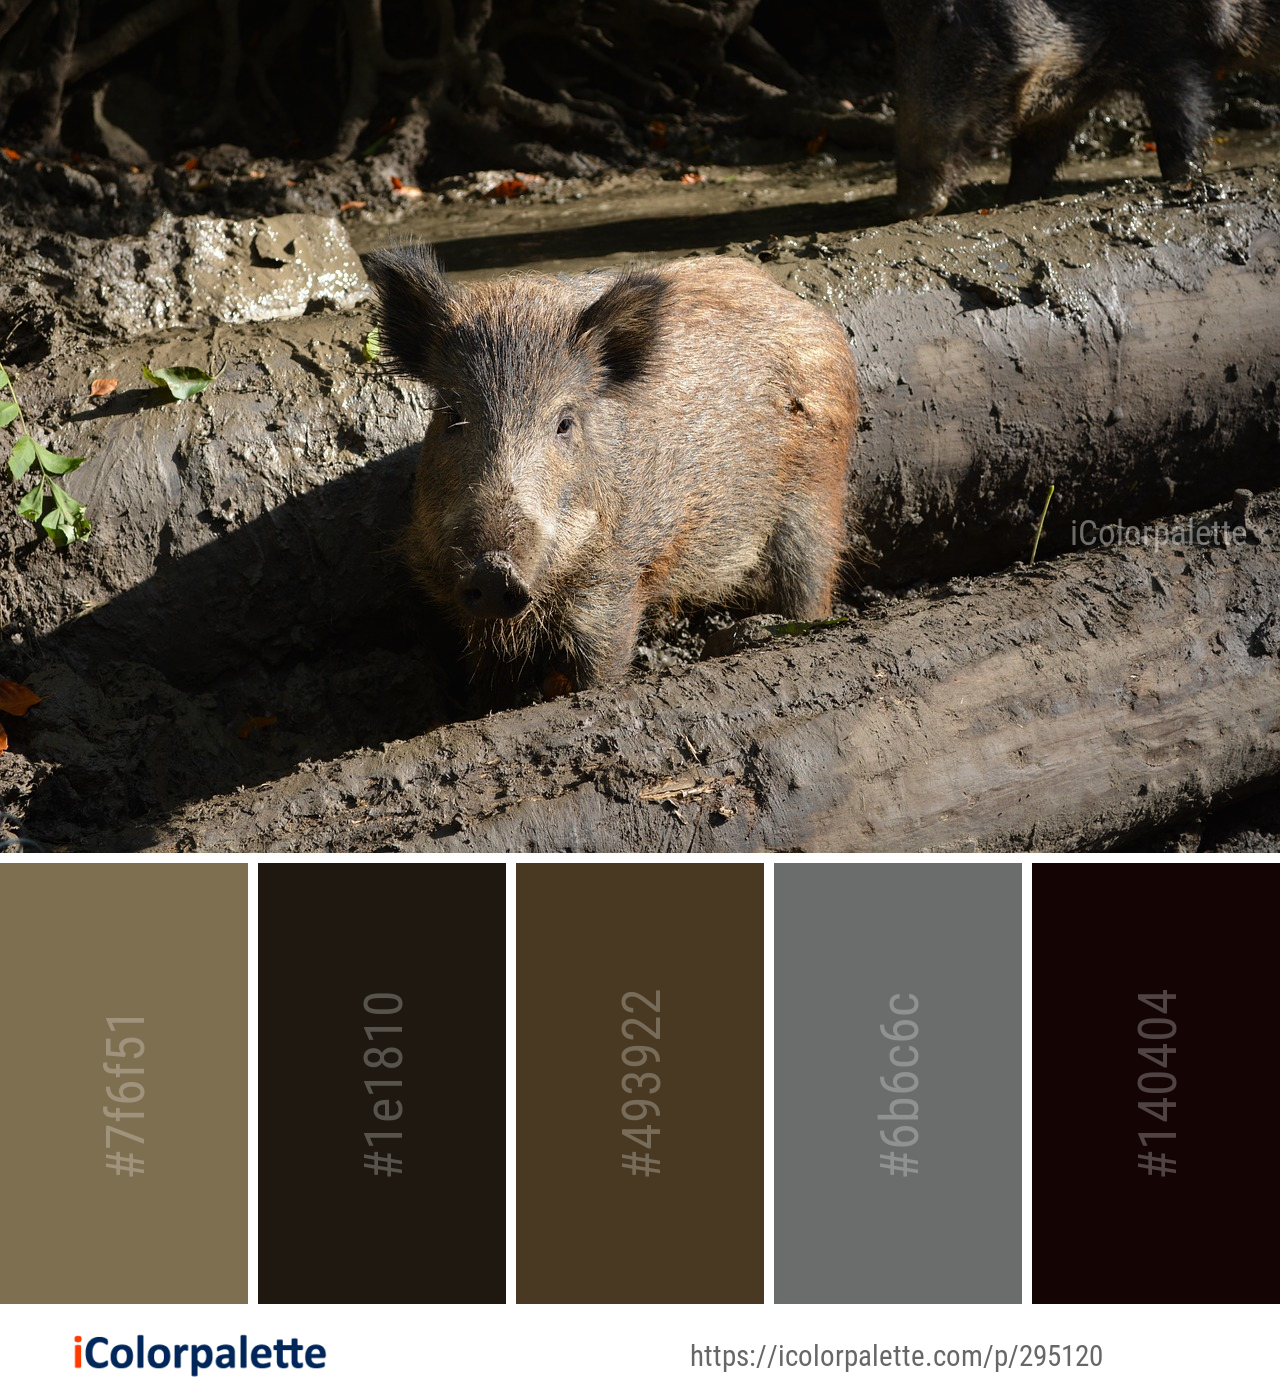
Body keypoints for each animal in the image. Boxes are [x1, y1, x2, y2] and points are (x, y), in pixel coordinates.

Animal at [363, 246, 858, 701]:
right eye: (452, 413)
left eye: (564, 422)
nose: (493, 569)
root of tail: (807, 309)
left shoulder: (616, 575)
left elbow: (602, 662)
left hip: (815, 495)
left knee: (810, 578)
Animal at [880, 0, 1280, 217]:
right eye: (894, 32)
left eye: (947, 21)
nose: (911, 207)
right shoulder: (1062, 100)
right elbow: (1032, 161)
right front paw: (1012, 202)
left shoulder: (1178, 48)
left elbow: (1181, 130)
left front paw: (1182, 182)